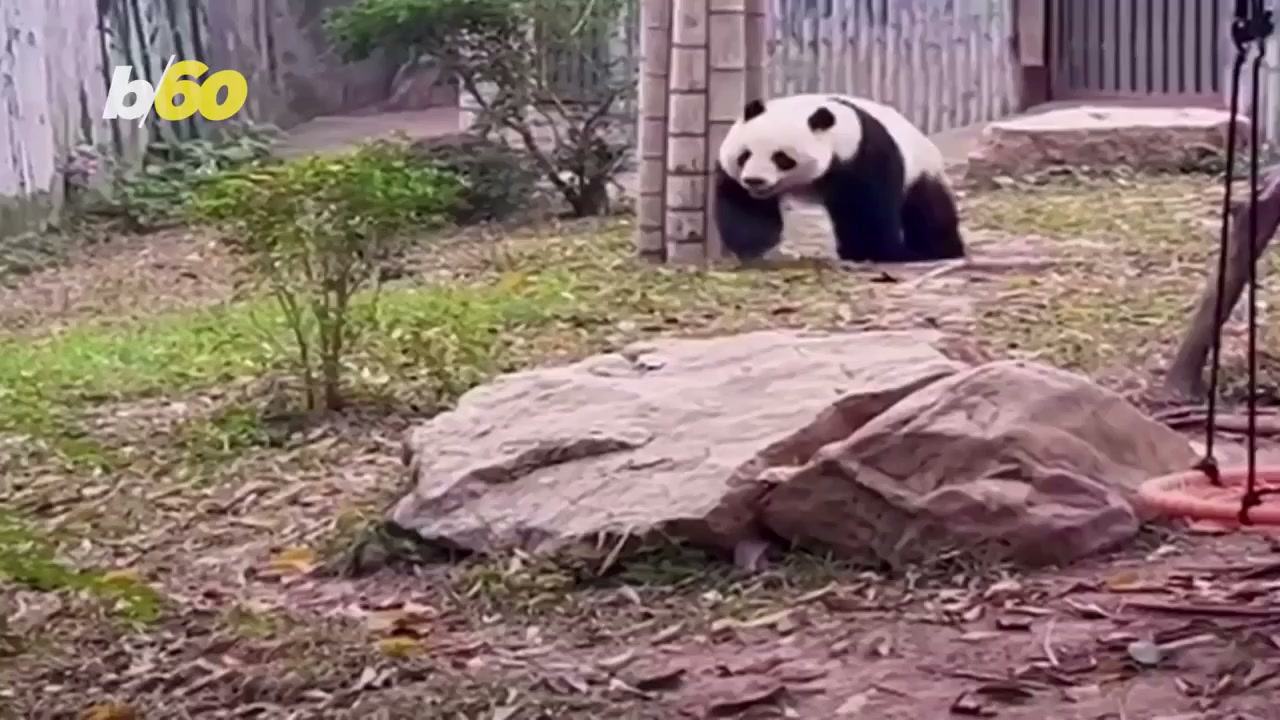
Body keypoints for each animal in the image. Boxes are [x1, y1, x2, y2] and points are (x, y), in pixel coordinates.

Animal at [713, 93, 966, 264]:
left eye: (782, 158)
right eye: (744, 155)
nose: (755, 181)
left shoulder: (861, 154)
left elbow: (867, 210)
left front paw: (878, 252)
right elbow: (746, 208)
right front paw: (754, 248)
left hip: (921, 170)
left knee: (928, 211)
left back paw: (938, 250)